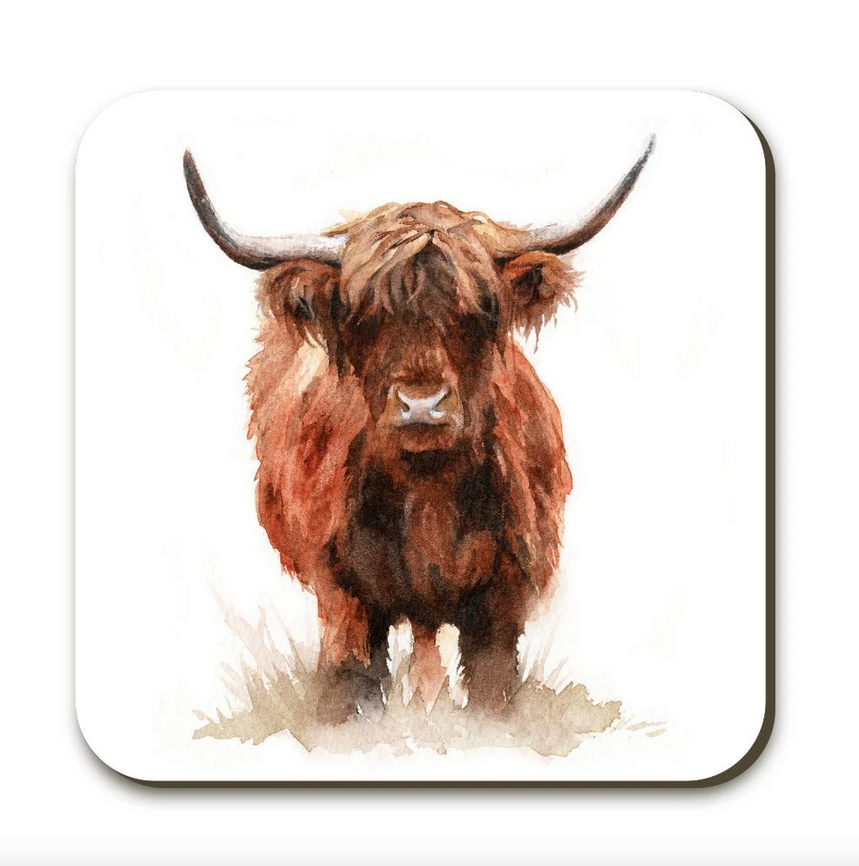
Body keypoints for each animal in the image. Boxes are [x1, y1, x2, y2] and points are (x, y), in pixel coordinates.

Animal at [183, 137, 654, 723]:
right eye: (360, 317)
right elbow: (349, 687)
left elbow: (492, 694)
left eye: (483, 312)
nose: (422, 406)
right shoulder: (344, 599)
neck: (428, 494)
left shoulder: (504, 601)